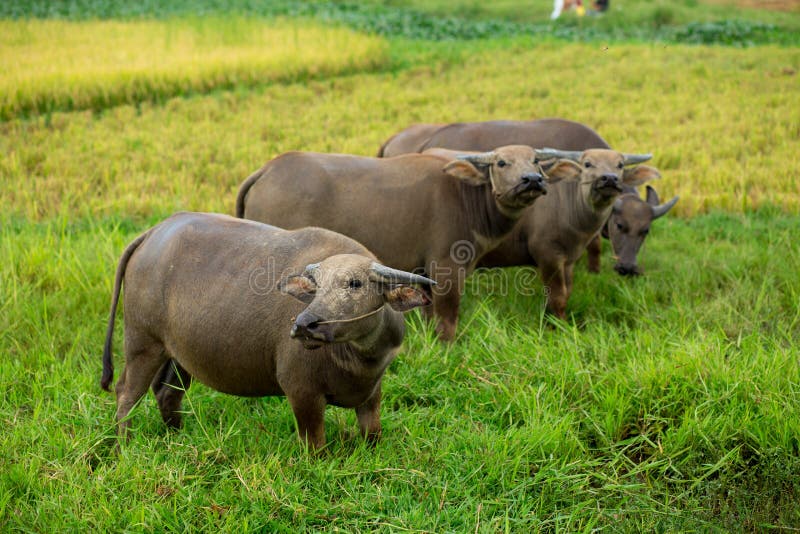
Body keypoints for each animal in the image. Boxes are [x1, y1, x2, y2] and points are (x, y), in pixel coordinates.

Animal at [101, 212, 435, 450]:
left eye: (355, 283)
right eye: (316, 287)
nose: (304, 325)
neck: (357, 358)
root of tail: (152, 233)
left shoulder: (372, 394)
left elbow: (372, 433)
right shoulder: (301, 392)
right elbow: (315, 446)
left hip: (179, 352)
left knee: (167, 392)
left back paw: (175, 437)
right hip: (143, 342)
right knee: (126, 394)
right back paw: (124, 447)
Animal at [235, 146, 552, 341]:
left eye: (535, 161)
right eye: (502, 163)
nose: (532, 179)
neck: (465, 197)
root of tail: (268, 169)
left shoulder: (422, 273)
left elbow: (429, 314)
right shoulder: (447, 268)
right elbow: (448, 317)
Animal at [478, 148, 661, 319]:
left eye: (620, 165)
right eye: (587, 164)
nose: (609, 178)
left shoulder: (568, 260)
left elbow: (565, 294)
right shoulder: (548, 257)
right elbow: (557, 297)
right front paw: (559, 324)